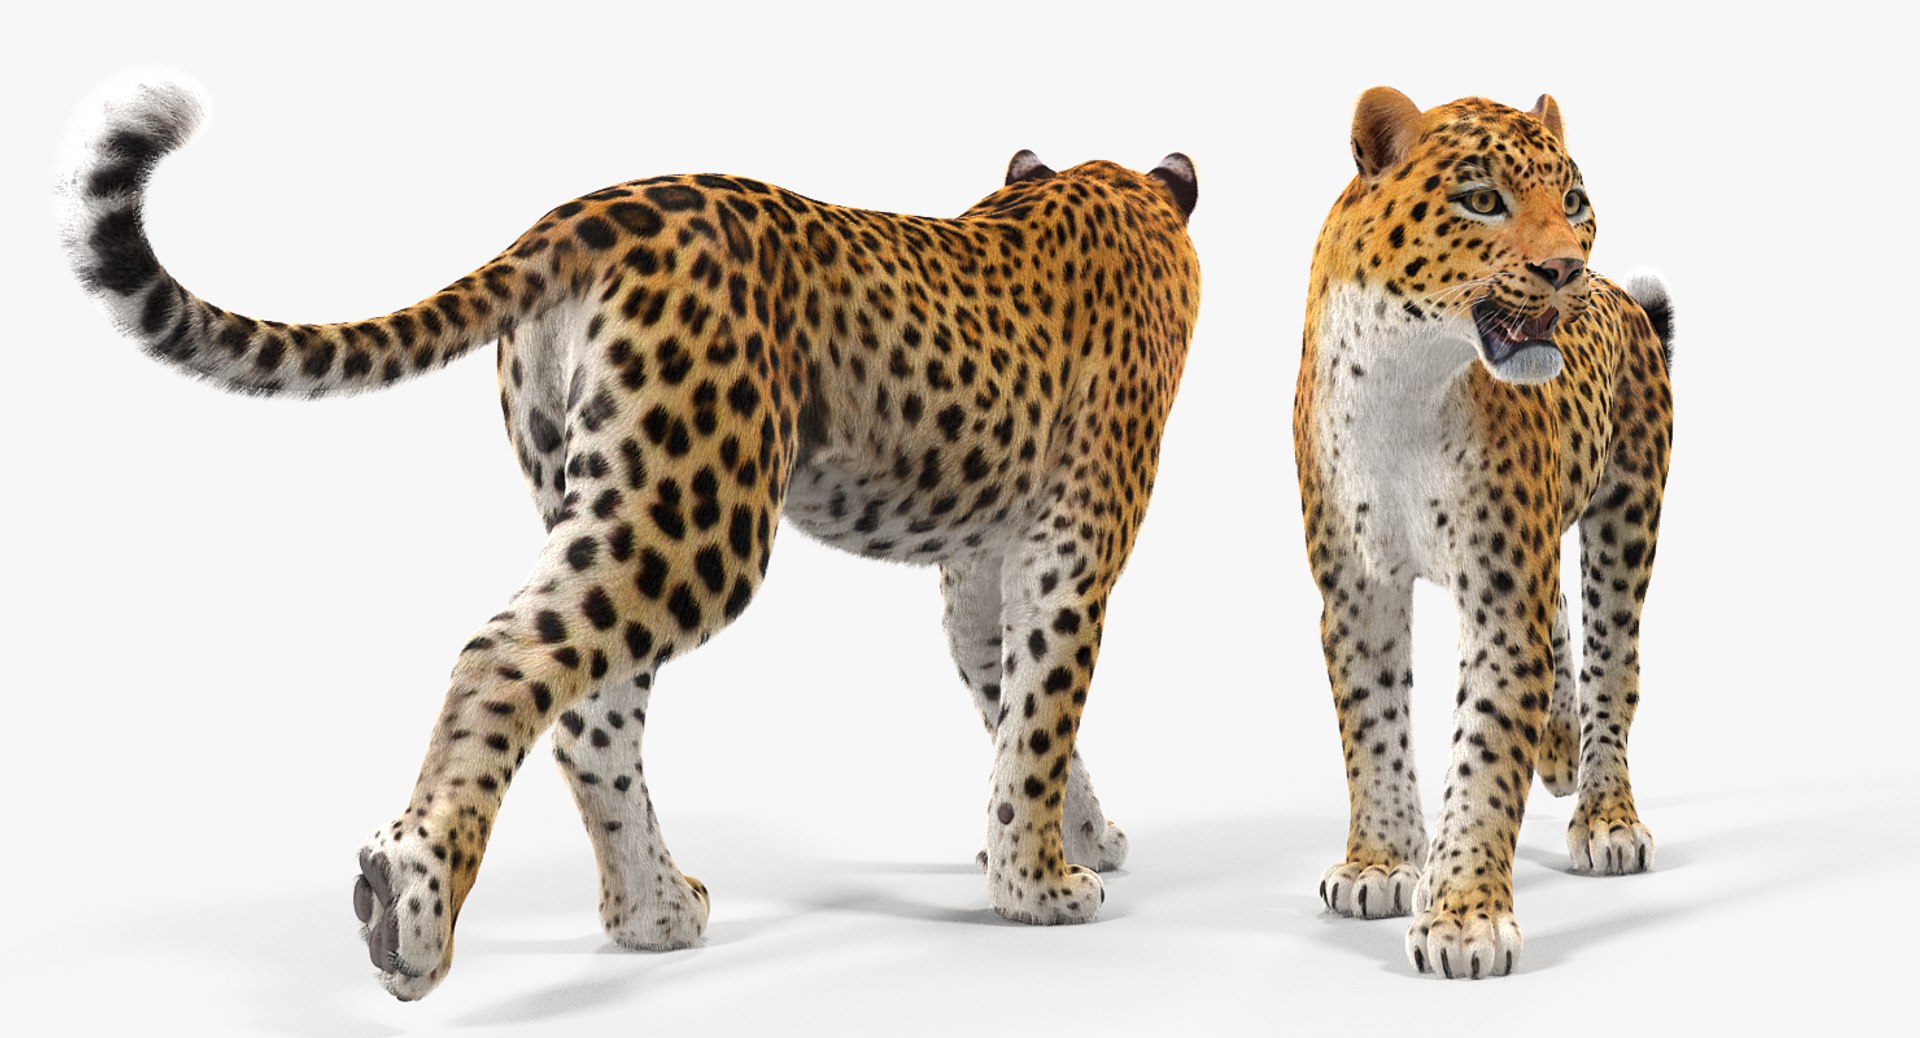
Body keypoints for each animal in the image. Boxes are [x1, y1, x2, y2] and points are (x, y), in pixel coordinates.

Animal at [61, 80, 1201, 1001]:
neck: (1107, 197)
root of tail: (585, 213)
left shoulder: (980, 574)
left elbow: (1013, 709)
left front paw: (1076, 838)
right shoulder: (1068, 555)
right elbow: (1045, 713)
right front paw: (1040, 887)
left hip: (603, 497)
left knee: (587, 704)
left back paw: (649, 912)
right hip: (699, 509)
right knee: (508, 658)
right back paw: (412, 905)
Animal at [1291, 88, 1675, 979]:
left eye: (1574, 203)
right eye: (1481, 201)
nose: (1564, 269)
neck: (1405, 381)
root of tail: (1624, 299)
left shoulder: (1502, 597)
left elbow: (1484, 750)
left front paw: (1463, 917)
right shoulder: (1356, 590)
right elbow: (1372, 726)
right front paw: (1380, 862)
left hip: (1626, 519)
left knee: (1612, 662)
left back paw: (1606, 815)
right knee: (1563, 621)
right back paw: (1560, 747)